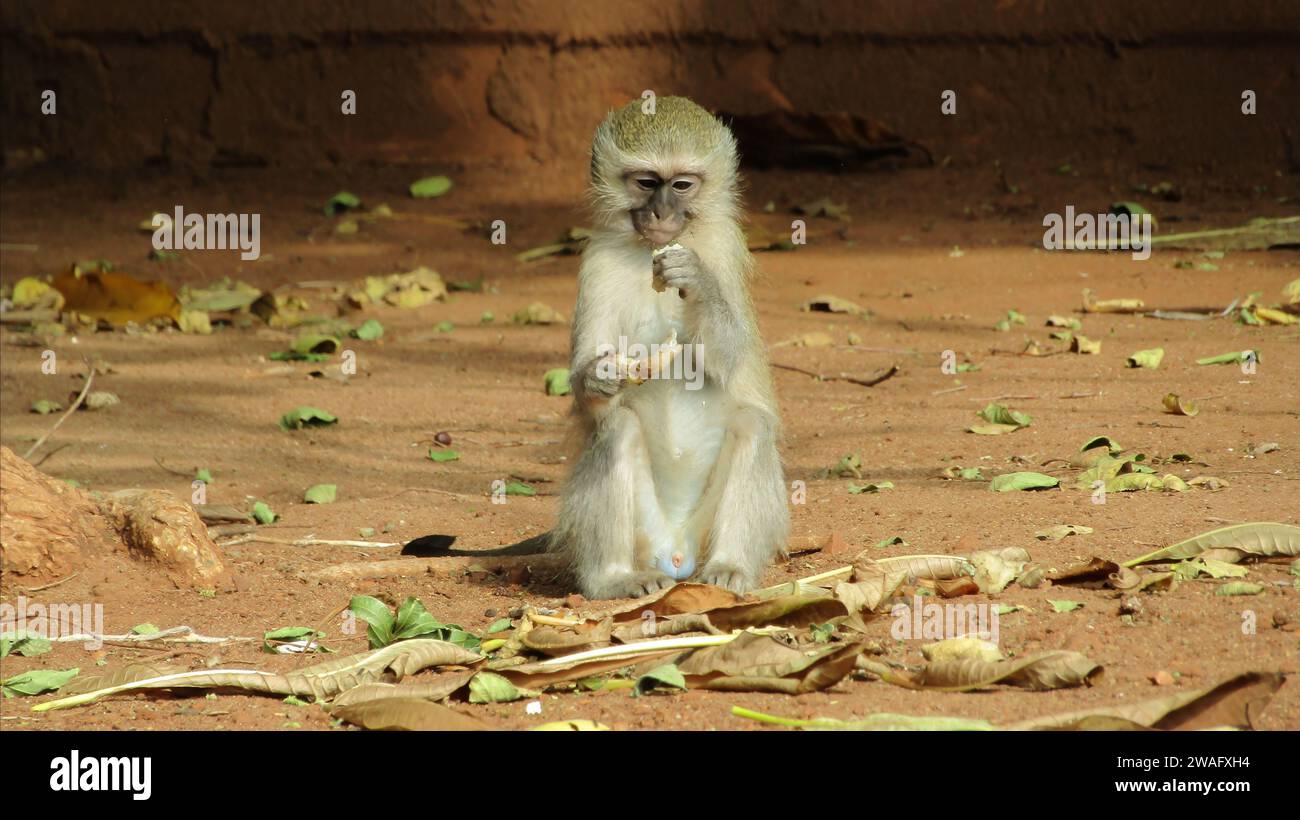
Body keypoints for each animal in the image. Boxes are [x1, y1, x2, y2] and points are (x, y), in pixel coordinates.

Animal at [421, 97, 788, 599]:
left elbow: (727, 359)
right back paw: (612, 578)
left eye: (681, 184)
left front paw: (694, 279)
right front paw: (600, 376)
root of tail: (677, 550)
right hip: (644, 534)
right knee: (616, 429)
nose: (661, 214)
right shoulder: (598, 261)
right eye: (647, 183)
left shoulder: (725, 248)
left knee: (751, 426)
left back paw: (729, 566)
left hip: (701, 530)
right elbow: (589, 387)